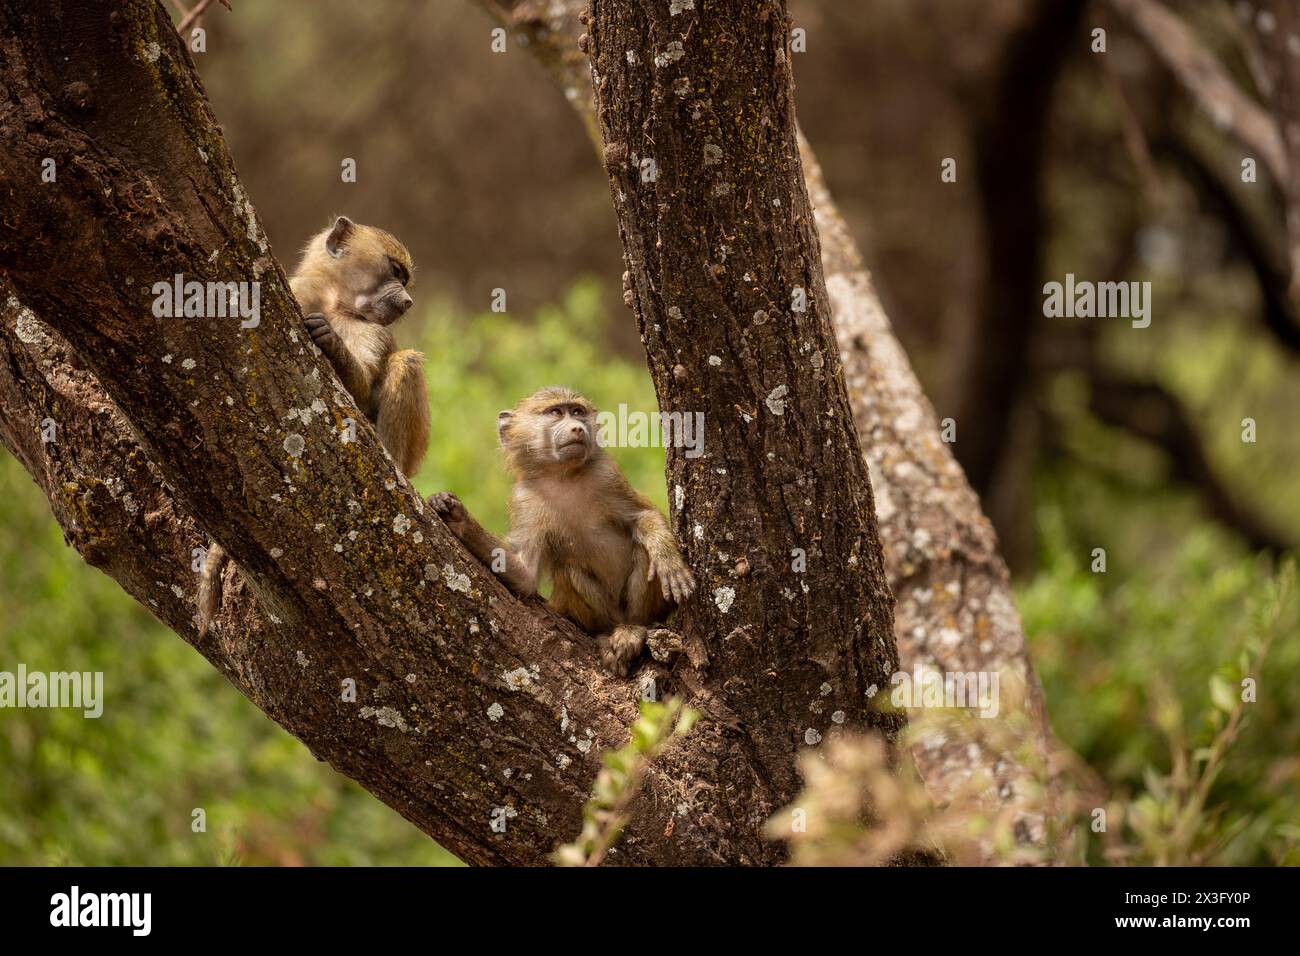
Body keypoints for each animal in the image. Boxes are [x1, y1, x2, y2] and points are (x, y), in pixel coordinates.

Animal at [197, 216, 428, 636]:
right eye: (395, 271)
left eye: (404, 279)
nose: (407, 303)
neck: (335, 303)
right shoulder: (301, 295)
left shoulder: (374, 331)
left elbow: (360, 387)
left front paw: (331, 341)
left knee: (407, 362)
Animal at [429, 386, 696, 676]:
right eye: (556, 412)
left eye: (577, 411)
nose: (577, 428)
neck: (562, 476)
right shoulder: (525, 500)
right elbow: (525, 575)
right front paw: (457, 518)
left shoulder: (606, 475)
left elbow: (643, 517)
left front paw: (669, 562)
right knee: (568, 568)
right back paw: (607, 634)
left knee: (643, 552)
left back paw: (634, 629)